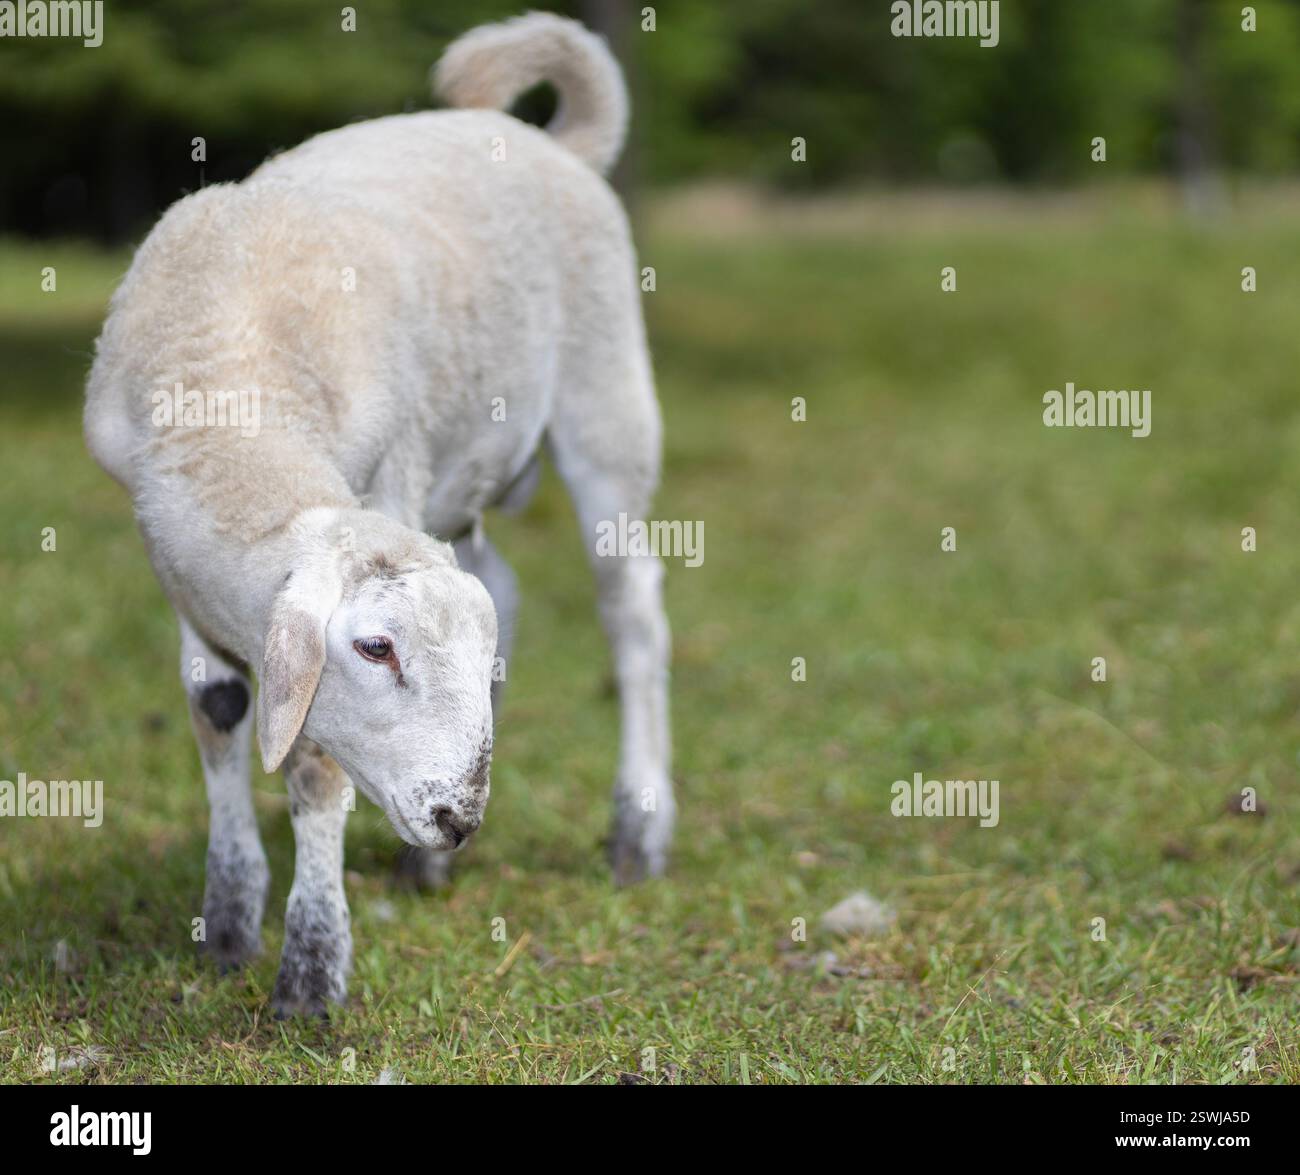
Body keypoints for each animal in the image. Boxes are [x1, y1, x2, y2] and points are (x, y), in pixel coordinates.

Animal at [83, 14, 674, 1017]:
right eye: (376, 648)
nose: (457, 816)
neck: (232, 371)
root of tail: (550, 140)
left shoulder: (388, 473)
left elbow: (315, 768)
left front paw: (310, 973)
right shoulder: (178, 564)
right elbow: (216, 712)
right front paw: (228, 923)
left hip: (607, 399)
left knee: (632, 614)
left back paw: (639, 831)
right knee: (507, 582)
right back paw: (425, 870)